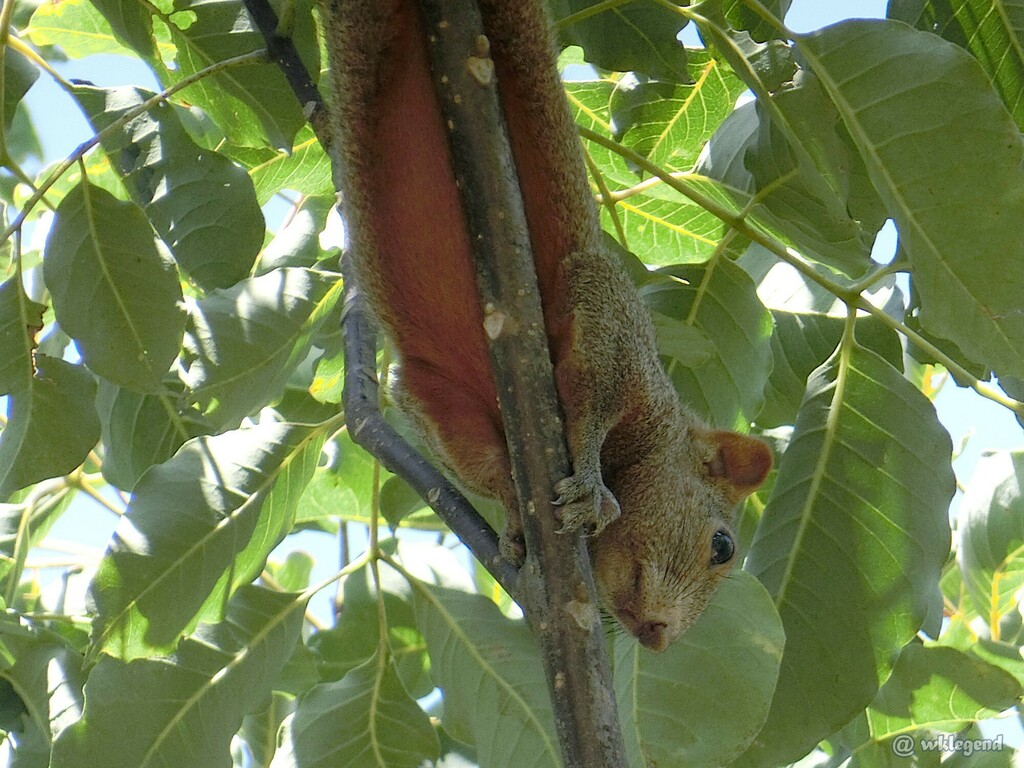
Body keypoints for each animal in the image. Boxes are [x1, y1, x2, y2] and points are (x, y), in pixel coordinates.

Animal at [324, 0, 773, 651]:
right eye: (723, 546)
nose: (658, 639)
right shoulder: (610, 312)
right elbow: (590, 402)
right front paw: (589, 489)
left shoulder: (434, 387)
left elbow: (470, 449)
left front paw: (515, 520)